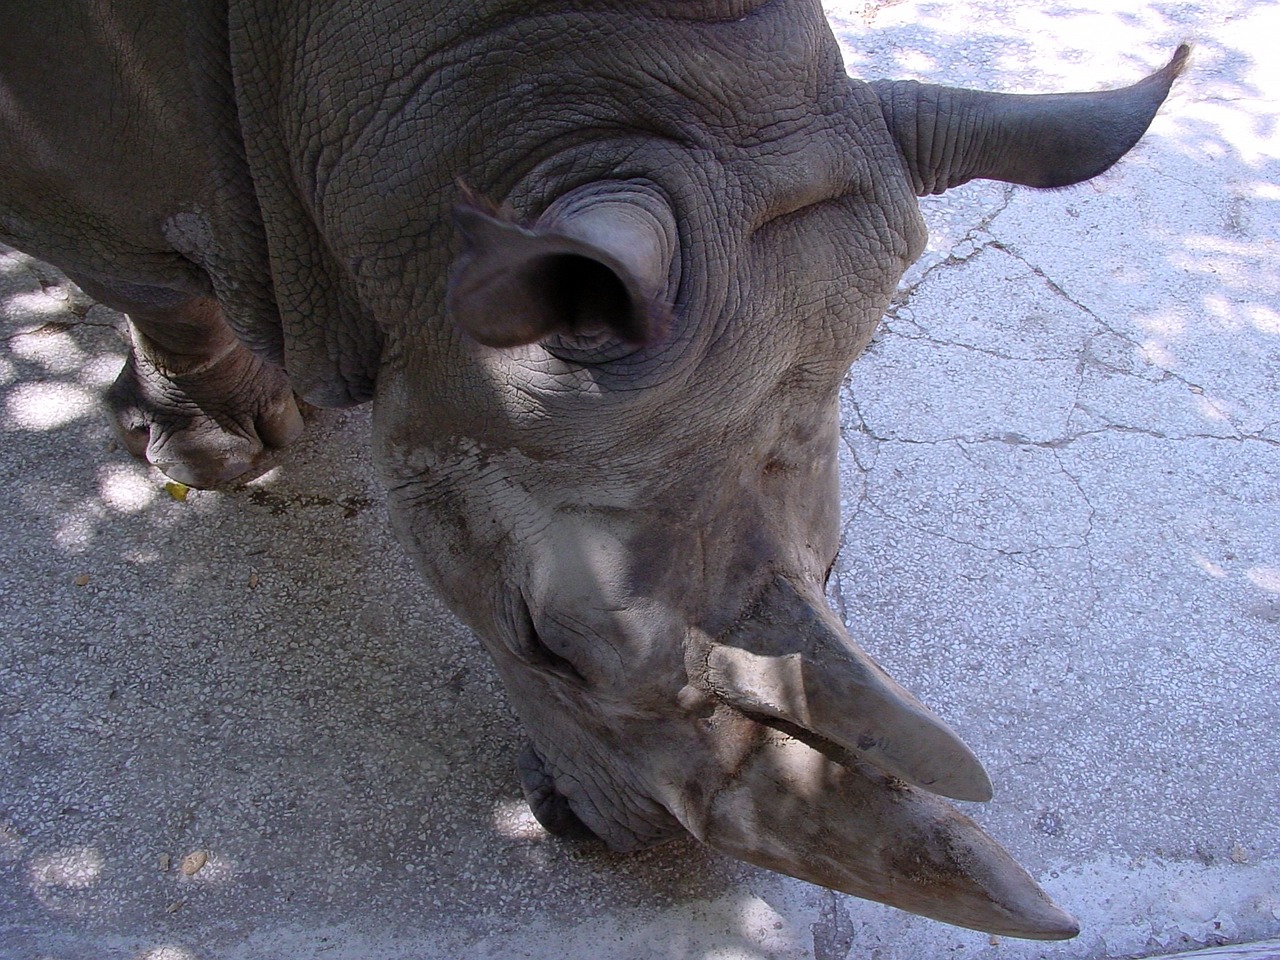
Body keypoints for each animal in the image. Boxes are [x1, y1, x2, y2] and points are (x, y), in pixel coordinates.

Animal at [0, 0, 1187, 939]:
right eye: (544, 647)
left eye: (837, 566)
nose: (629, 841)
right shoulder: (80, 138)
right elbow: (150, 273)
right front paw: (213, 453)